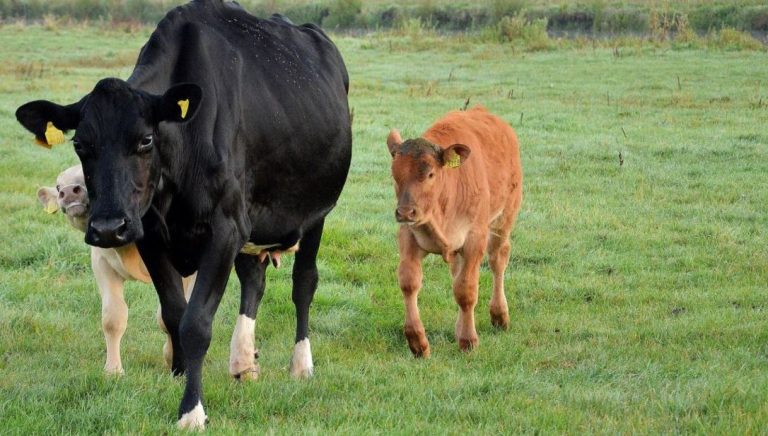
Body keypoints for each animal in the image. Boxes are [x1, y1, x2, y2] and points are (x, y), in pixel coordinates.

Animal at [37, 164, 196, 375]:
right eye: (58, 186)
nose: (69, 191)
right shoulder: (101, 262)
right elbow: (113, 317)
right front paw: (113, 370)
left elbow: (170, 315)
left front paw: (172, 359)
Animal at [386, 105, 522, 357]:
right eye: (394, 174)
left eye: (430, 174)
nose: (405, 212)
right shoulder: (408, 237)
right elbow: (409, 282)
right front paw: (418, 342)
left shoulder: (475, 240)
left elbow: (466, 290)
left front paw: (469, 341)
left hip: (504, 218)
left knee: (498, 260)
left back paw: (499, 315)